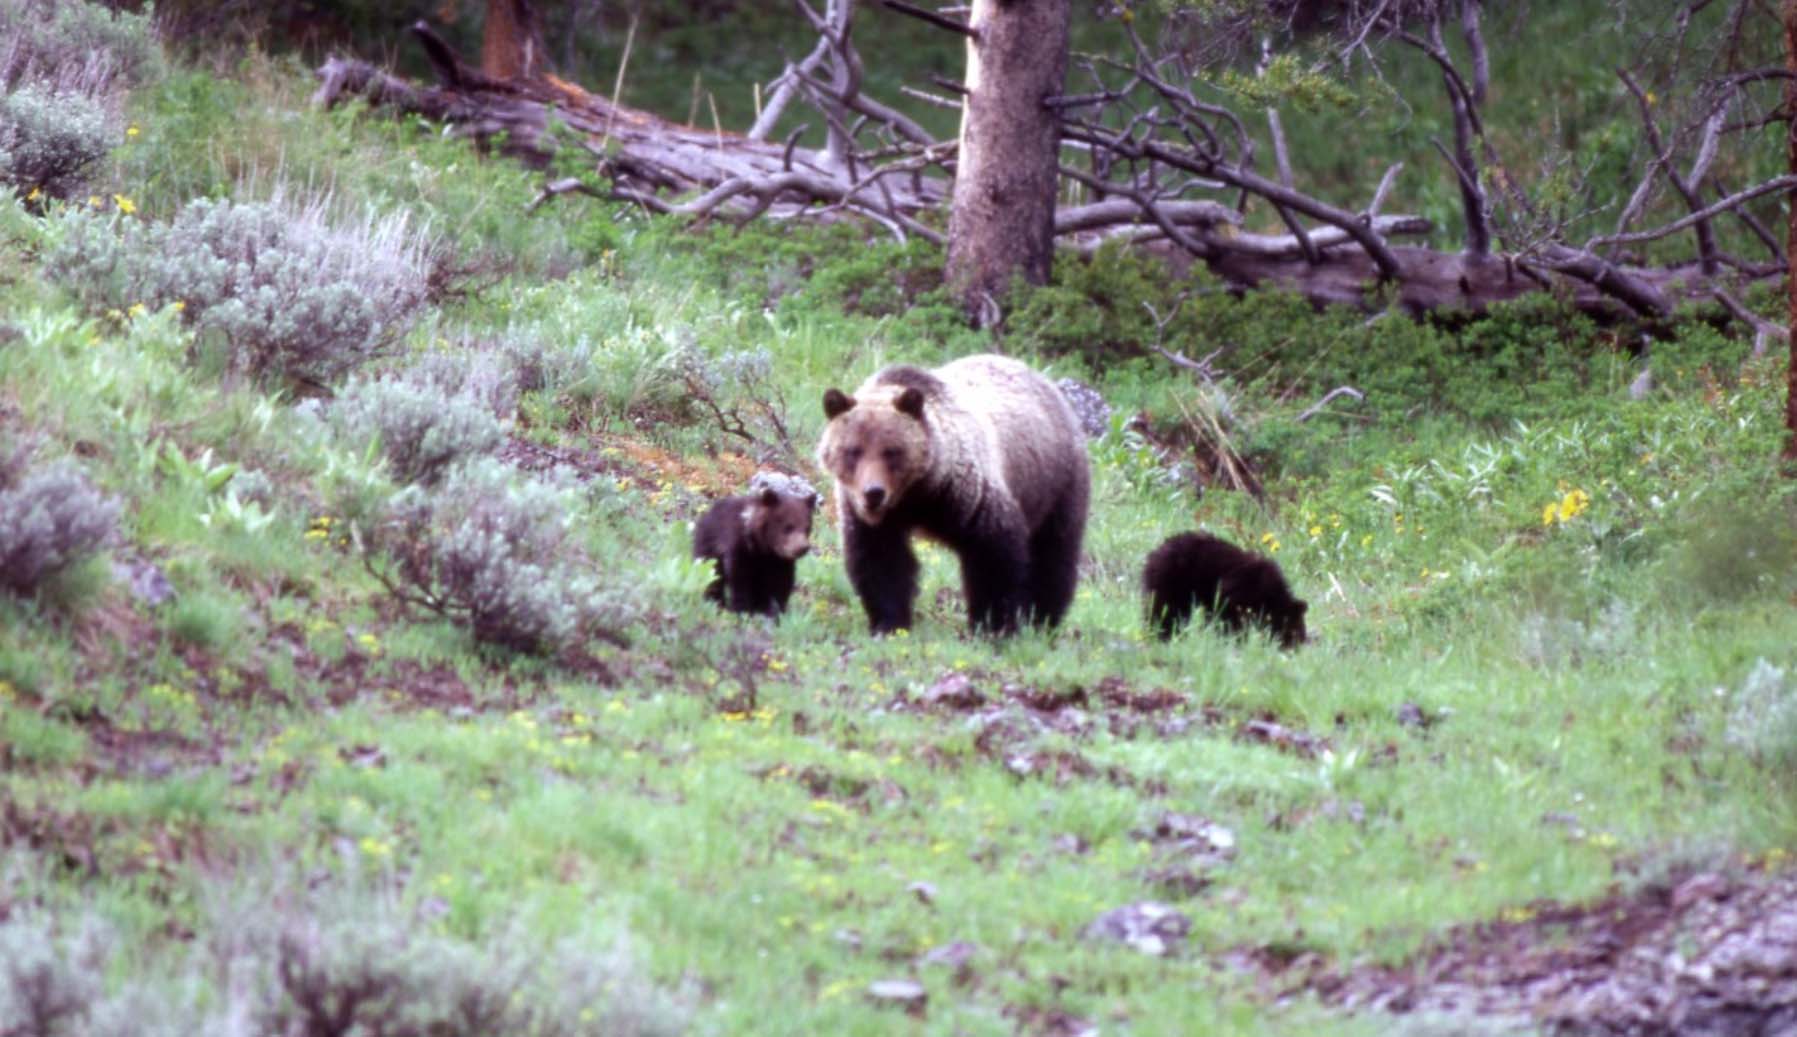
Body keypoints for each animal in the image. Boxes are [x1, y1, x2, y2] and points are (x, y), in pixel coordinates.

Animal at [693, 485, 818, 618]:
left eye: (807, 528)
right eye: (788, 527)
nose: (802, 547)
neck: (763, 548)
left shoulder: (780, 562)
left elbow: (781, 583)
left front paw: (776, 611)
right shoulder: (740, 550)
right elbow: (740, 580)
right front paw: (742, 610)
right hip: (708, 548)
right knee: (713, 577)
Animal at [815, 353, 1090, 636]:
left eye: (891, 451)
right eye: (853, 451)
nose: (873, 493)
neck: (916, 494)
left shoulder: (966, 495)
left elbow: (993, 554)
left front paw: (992, 626)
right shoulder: (871, 517)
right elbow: (880, 560)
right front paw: (889, 624)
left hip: (1056, 482)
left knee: (1053, 552)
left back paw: (1043, 618)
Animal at [1143, 532, 1308, 648]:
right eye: (1296, 629)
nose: (1298, 646)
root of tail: (1153, 555)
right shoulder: (1239, 591)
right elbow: (1231, 618)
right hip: (1171, 582)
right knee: (1164, 611)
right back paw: (1162, 635)